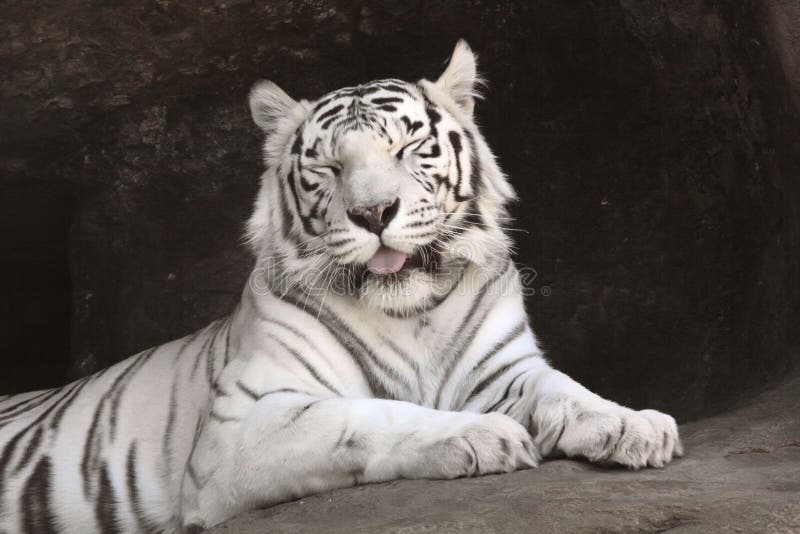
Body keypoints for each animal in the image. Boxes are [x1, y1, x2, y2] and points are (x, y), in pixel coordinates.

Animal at [0, 40, 682, 533]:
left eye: (409, 147)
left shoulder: (505, 369)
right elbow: (367, 415)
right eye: (329, 167)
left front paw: (635, 425)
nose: (374, 212)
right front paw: (477, 434)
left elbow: (566, 390)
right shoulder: (242, 424)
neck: (412, 314)